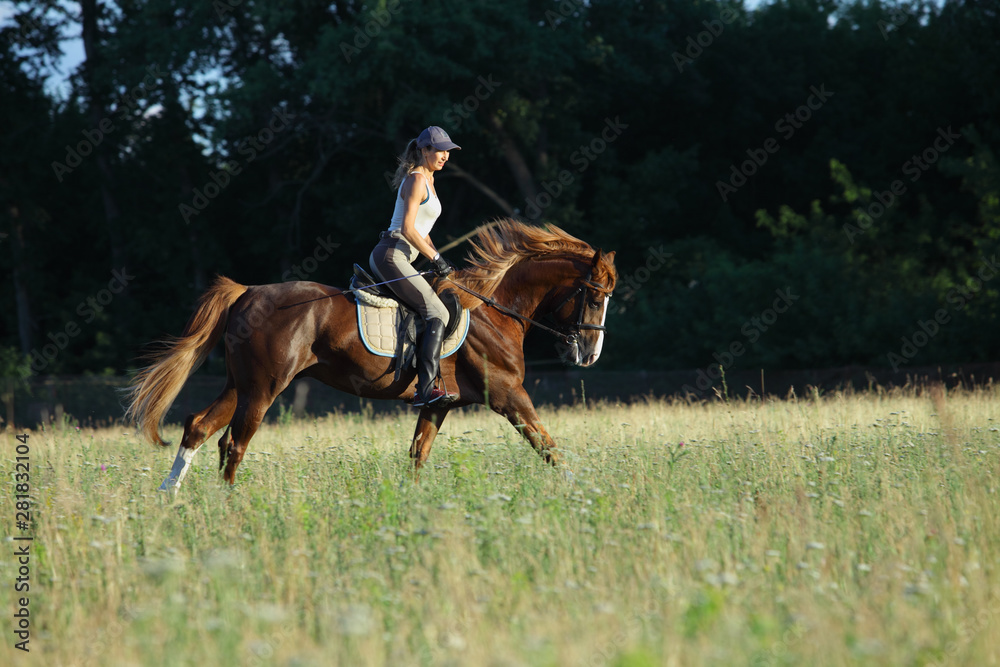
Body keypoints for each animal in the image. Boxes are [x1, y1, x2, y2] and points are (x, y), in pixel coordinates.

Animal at [123, 218, 617, 489]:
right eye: (595, 296)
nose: (590, 355)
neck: (495, 309)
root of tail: (248, 292)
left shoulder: (439, 405)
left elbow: (418, 455)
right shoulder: (510, 397)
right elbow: (548, 448)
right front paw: (581, 492)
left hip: (240, 384)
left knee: (199, 427)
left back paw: (171, 497)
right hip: (263, 389)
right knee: (233, 442)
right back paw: (228, 508)